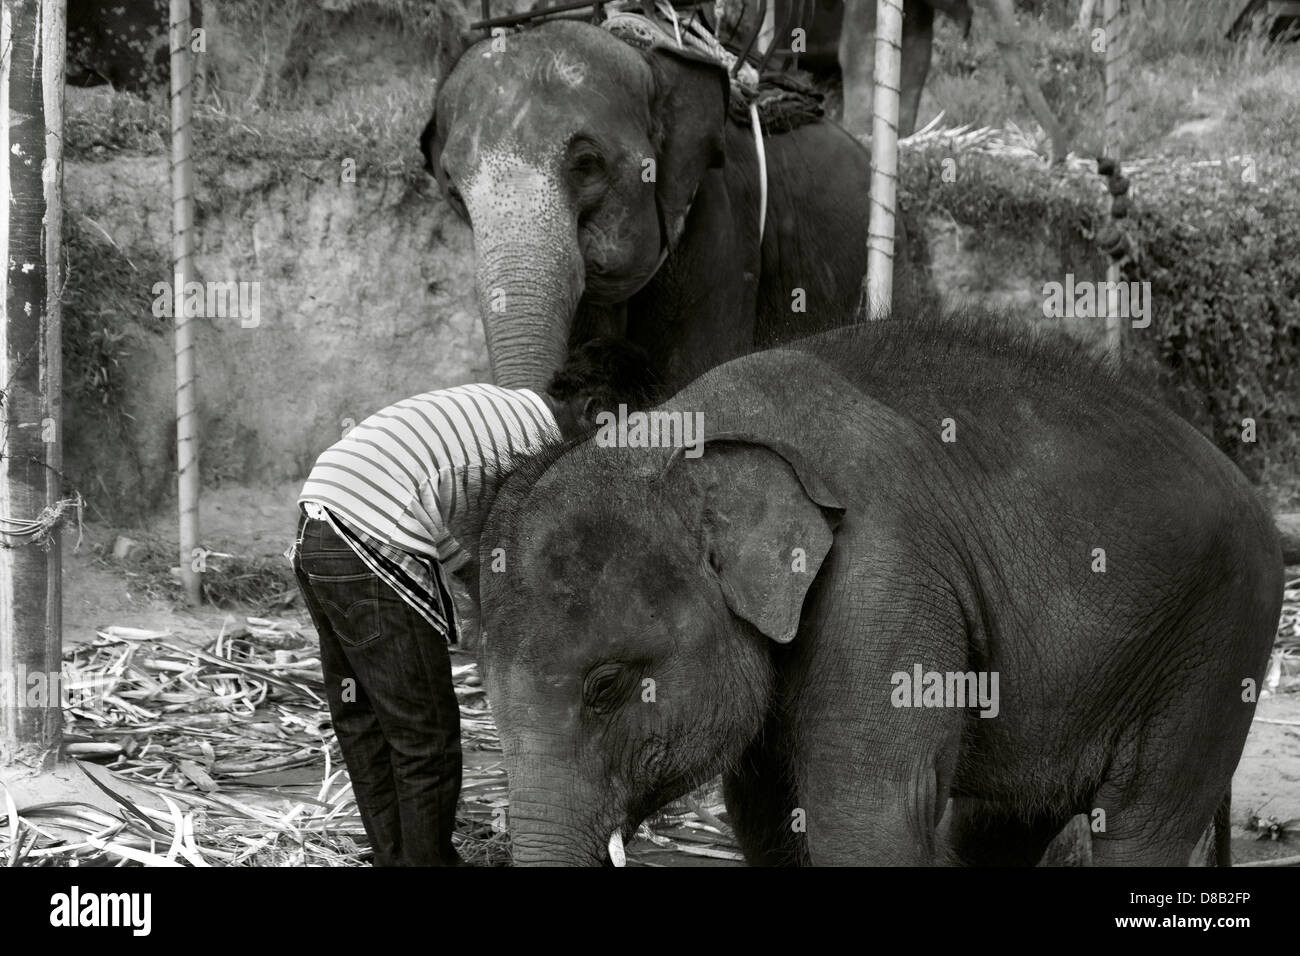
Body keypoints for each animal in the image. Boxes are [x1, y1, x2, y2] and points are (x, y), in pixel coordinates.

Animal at [472, 309, 1283, 866]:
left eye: (606, 686)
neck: (683, 431)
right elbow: (765, 815)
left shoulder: (883, 579)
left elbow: (865, 816)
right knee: (1000, 826)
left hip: (1217, 650)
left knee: (1142, 825)